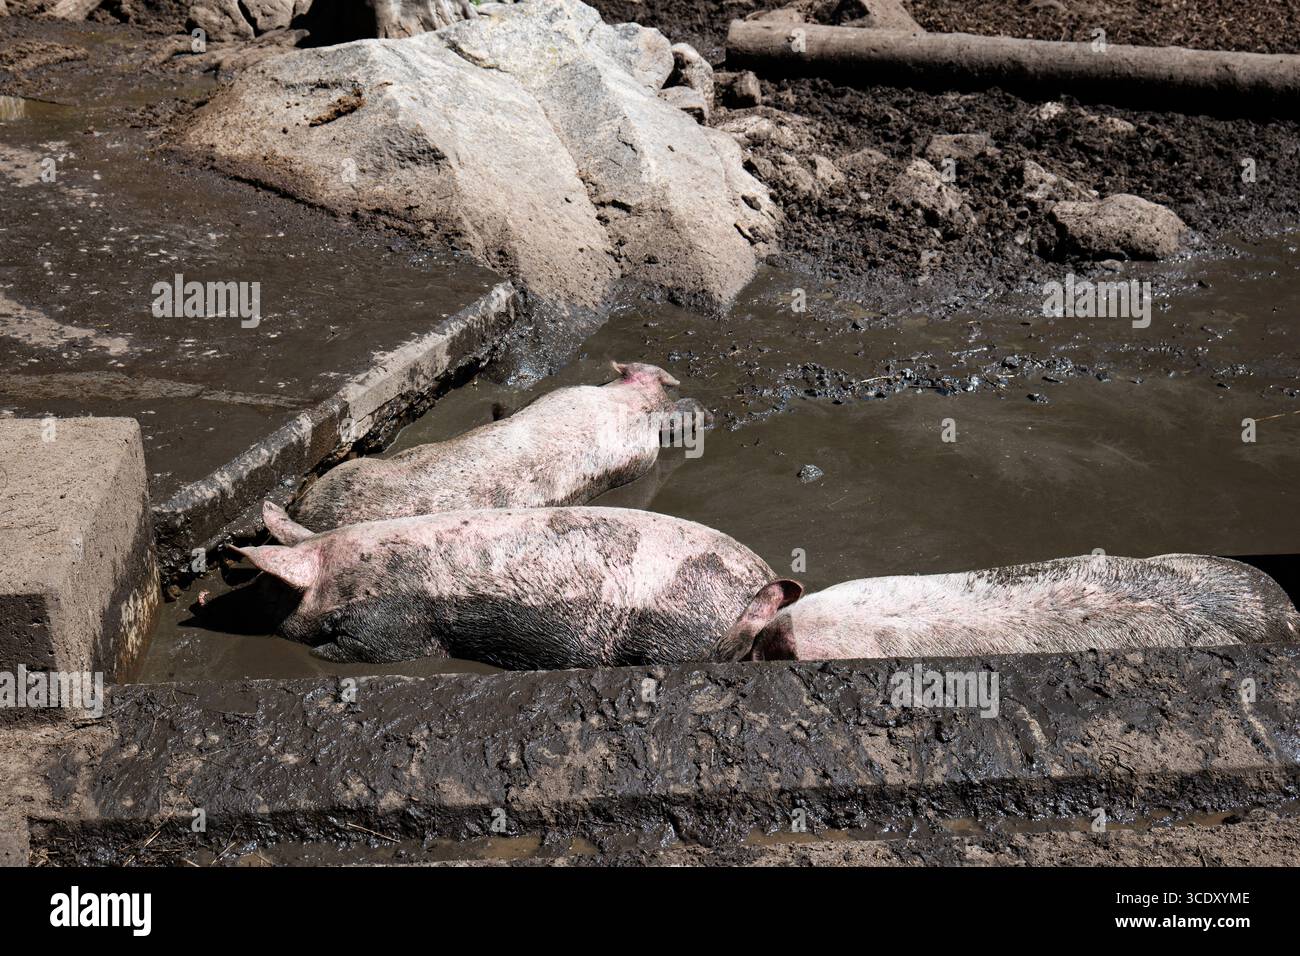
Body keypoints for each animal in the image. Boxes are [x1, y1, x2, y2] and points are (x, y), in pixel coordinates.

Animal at [238, 501, 772, 668]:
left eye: (269, 588)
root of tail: (763, 585)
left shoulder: (396, 619)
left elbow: (384, 651)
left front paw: (320, 652)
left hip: (672, 636)